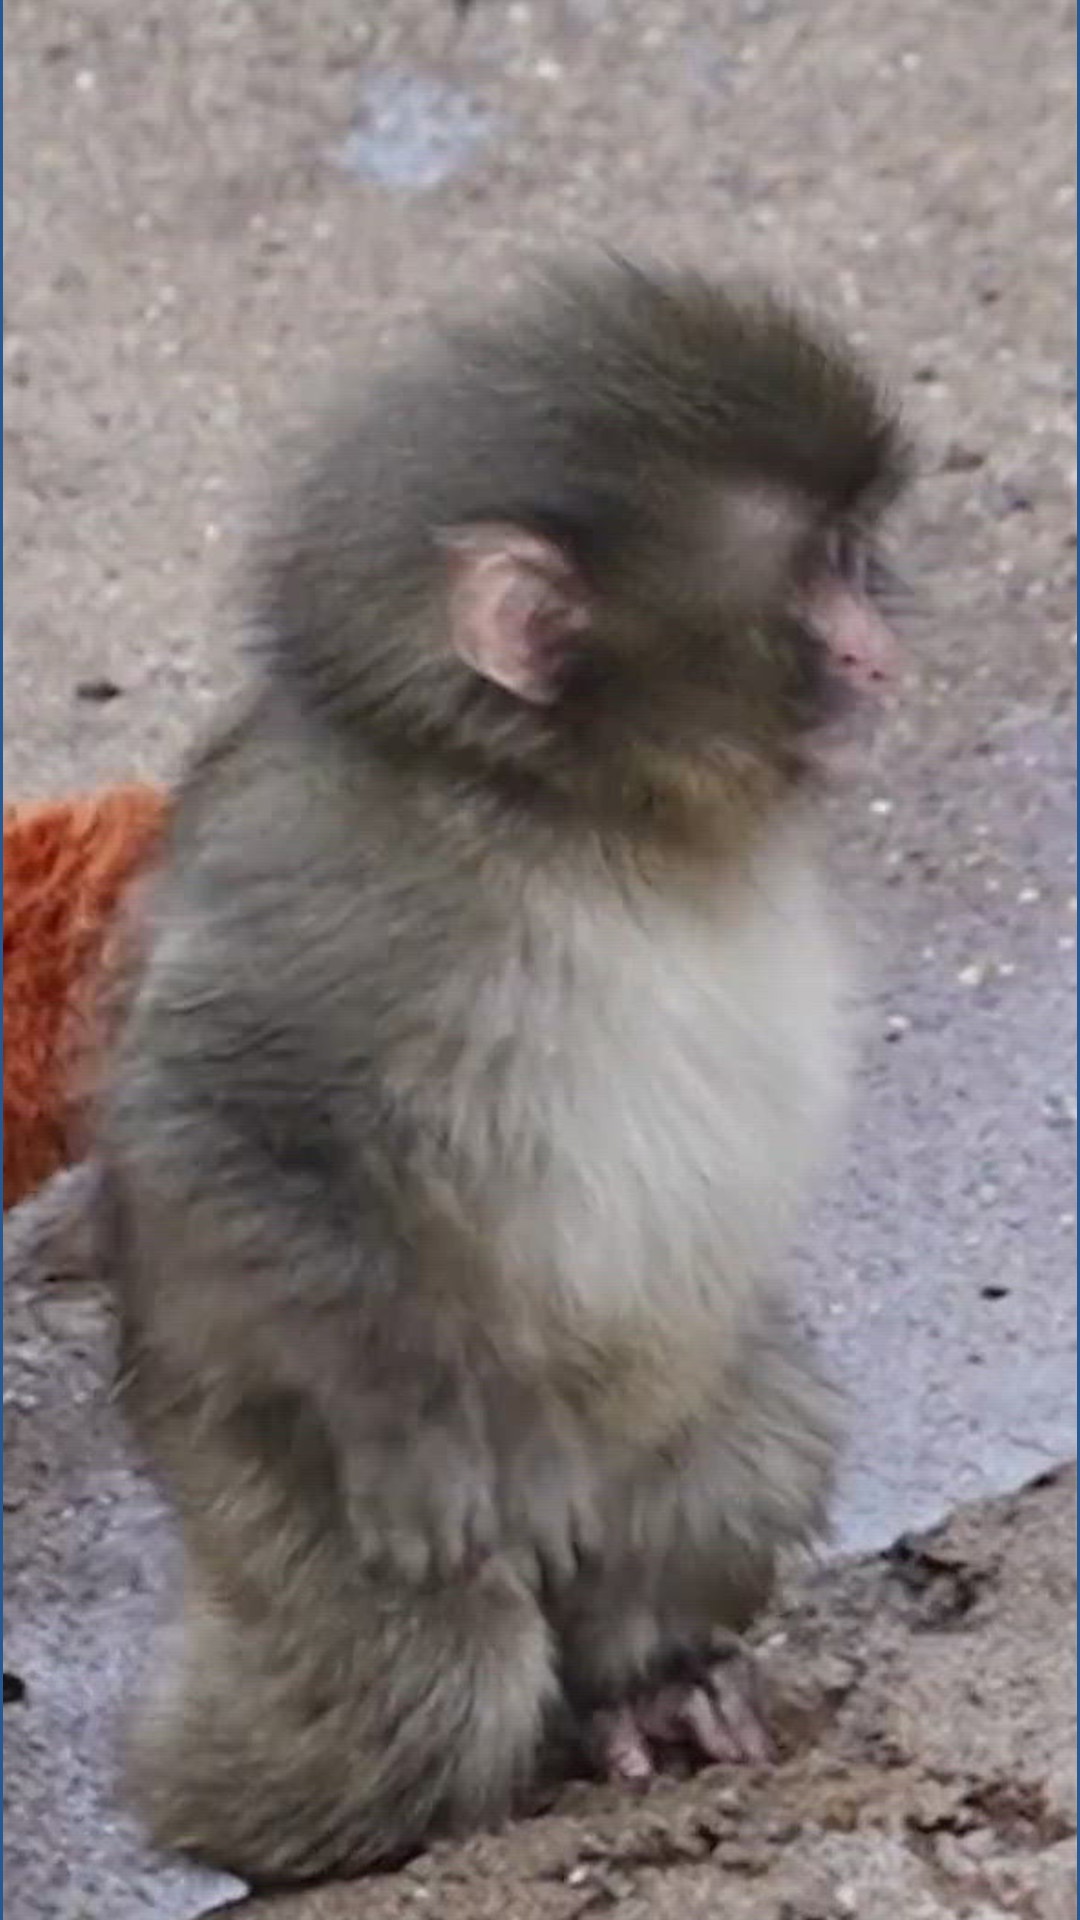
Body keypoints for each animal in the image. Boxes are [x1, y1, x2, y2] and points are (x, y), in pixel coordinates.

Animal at [95, 259, 911, 1886]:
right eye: (820, 581)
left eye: (863, 560)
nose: (881, 655)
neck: (575, 810)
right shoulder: (344, 878)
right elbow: (219, 1110)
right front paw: (419, 1421)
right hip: (246, 1470)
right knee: (424, 1677)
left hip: (667, 1430)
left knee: (742, 1453)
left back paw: (642, 1684)